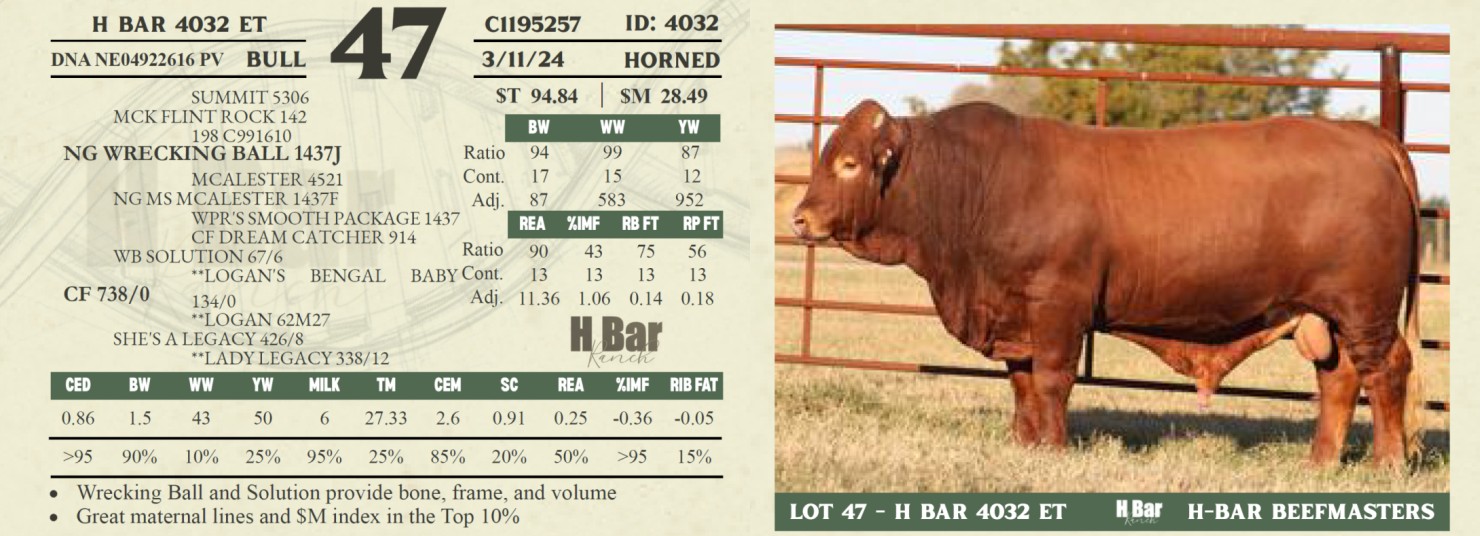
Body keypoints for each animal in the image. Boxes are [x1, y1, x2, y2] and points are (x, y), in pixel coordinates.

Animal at [790, 99, 1424, 467]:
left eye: (849, 164)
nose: (800, 218)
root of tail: (1363, 134)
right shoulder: (1015, 313)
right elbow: (1022, 384)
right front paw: (1026, 446)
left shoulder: (1057, 305)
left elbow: (1051, 380)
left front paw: (1054, 448)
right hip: (1329, 314)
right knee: (1339, 379)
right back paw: (1320, 463)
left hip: (1365, 307)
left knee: (1386, 369)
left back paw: (1387, 464)